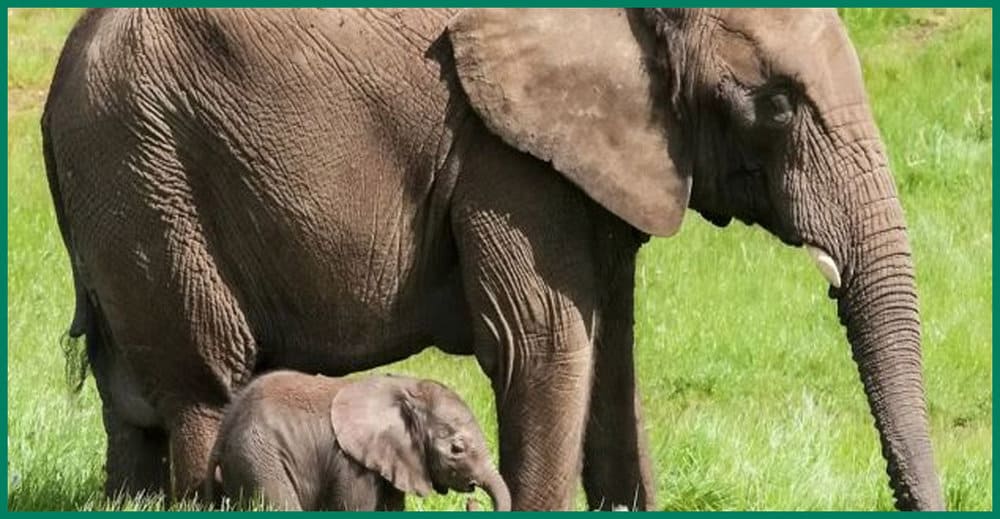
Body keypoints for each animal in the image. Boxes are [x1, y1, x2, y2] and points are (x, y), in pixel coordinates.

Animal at [205, 371, 510, 511]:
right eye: (457, 449)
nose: (472, 501)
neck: (403, 387)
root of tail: (221, 435)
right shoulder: (351, 465)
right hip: (258, 455)